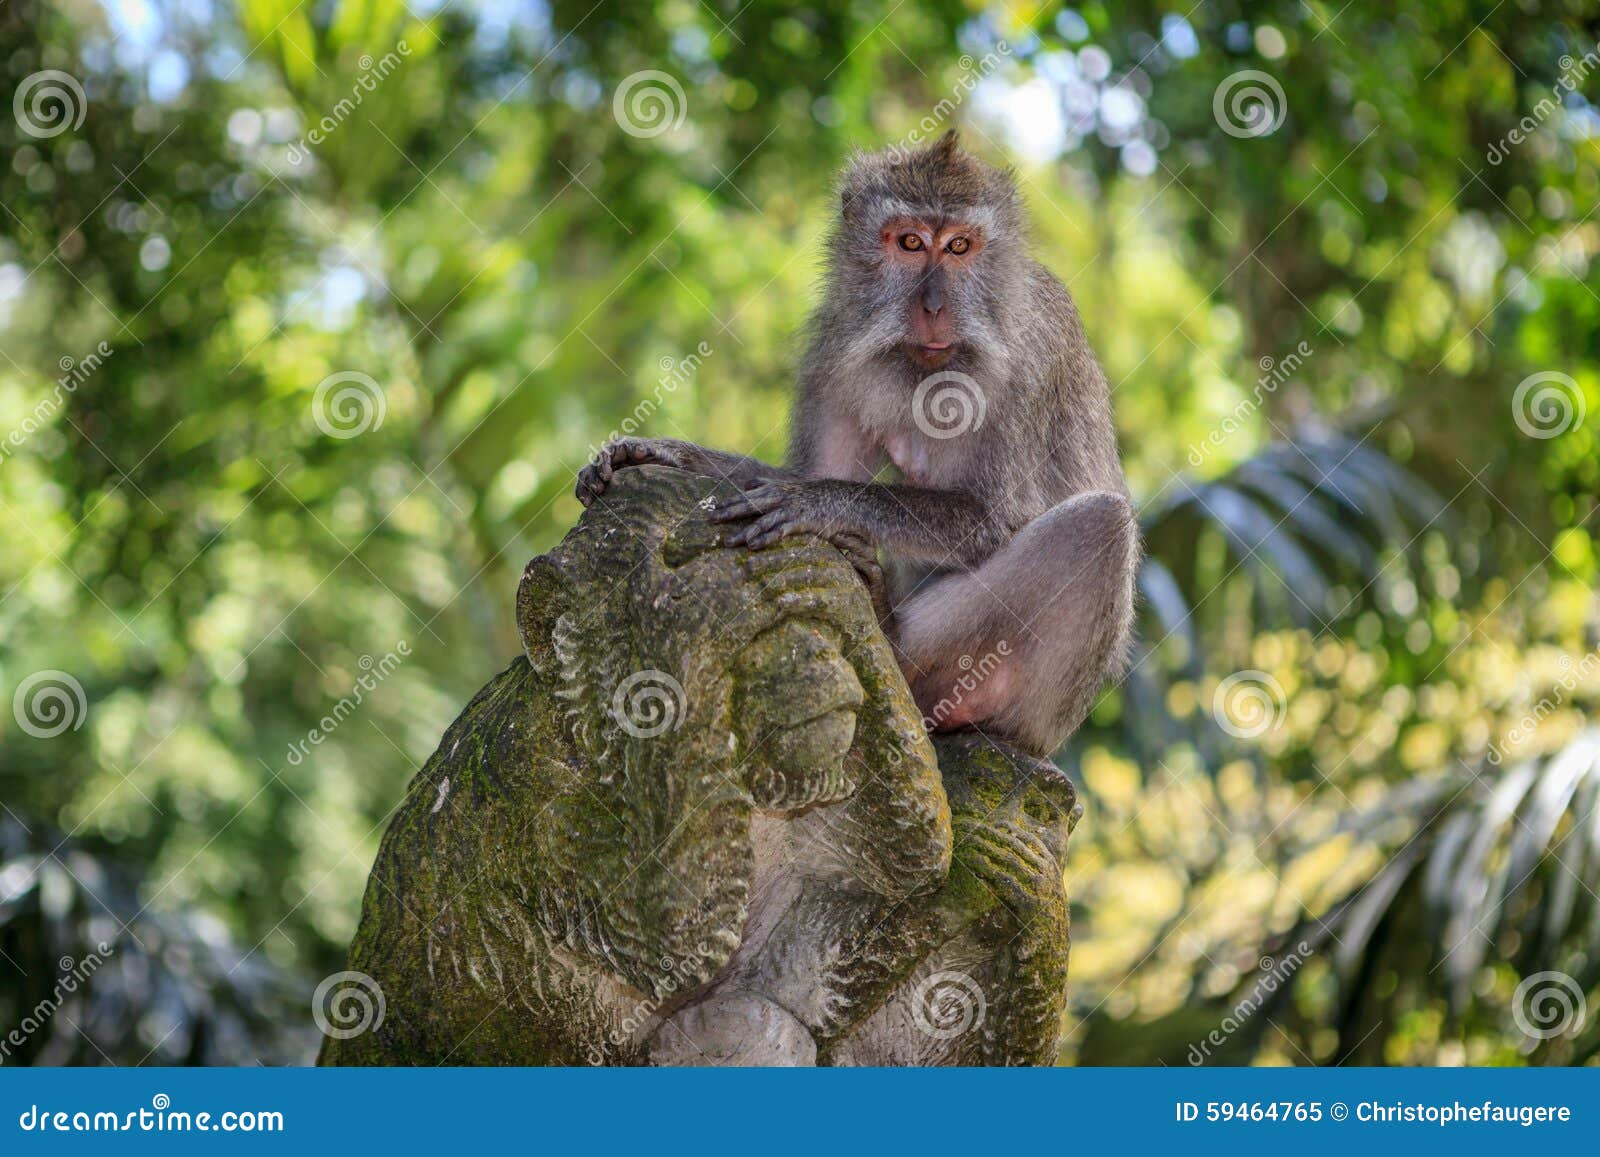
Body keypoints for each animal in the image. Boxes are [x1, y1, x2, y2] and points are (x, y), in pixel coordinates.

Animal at [575, 131, 1138, 758]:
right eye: (910, 242)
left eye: (960, 246)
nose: (934, 308)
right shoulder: (833, 346)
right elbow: (813, 468)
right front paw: (665, 454)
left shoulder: (1031, 363)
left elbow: (996, 517)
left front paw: (821, 502)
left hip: (1026, 709)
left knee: (1100, 524)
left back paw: (892, 642)